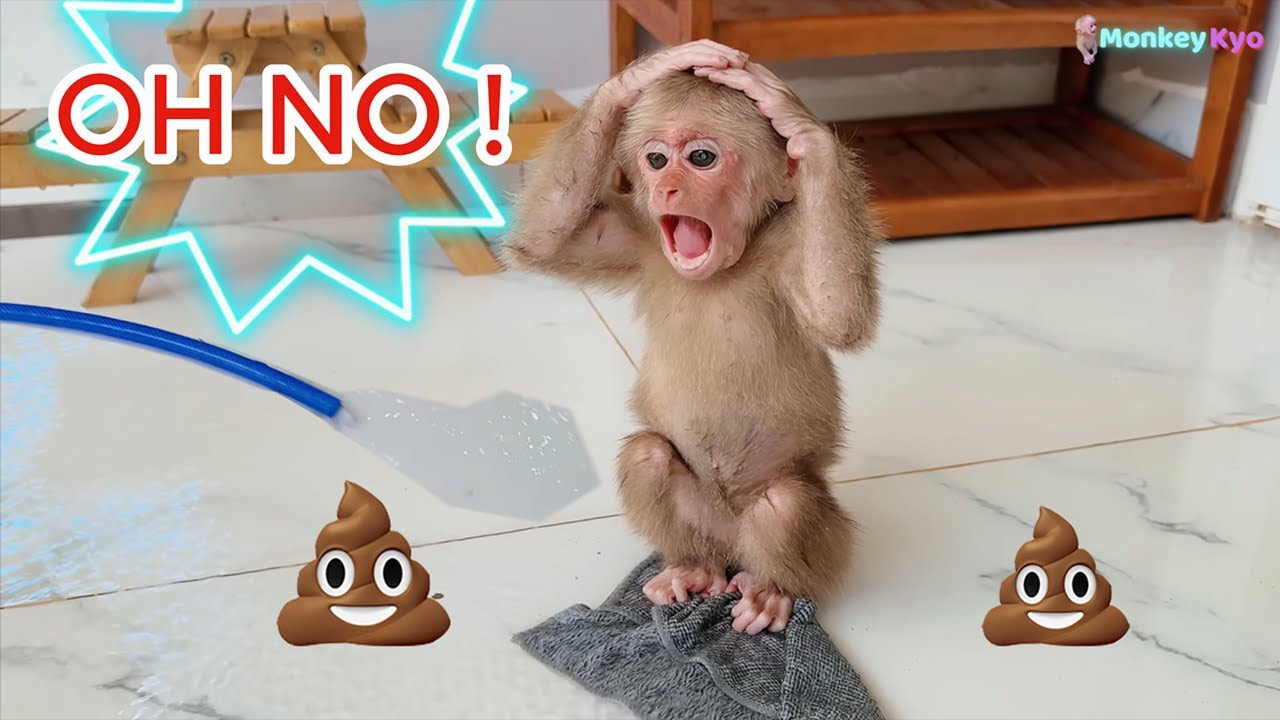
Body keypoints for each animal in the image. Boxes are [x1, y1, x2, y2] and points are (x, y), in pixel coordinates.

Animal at [502, 40, 883, 634]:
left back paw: (771, 591)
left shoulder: (791, 247)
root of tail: (730, 552)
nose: (666, 186)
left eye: (701, 158)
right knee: (648, 457)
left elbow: (837, 312)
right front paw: (640, 75)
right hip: (705, 524)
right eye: (657, 160)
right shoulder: (636, 237)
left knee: (786, 504)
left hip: (811, 541)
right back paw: (691, 567)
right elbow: (541, 242)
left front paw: (798, 124)